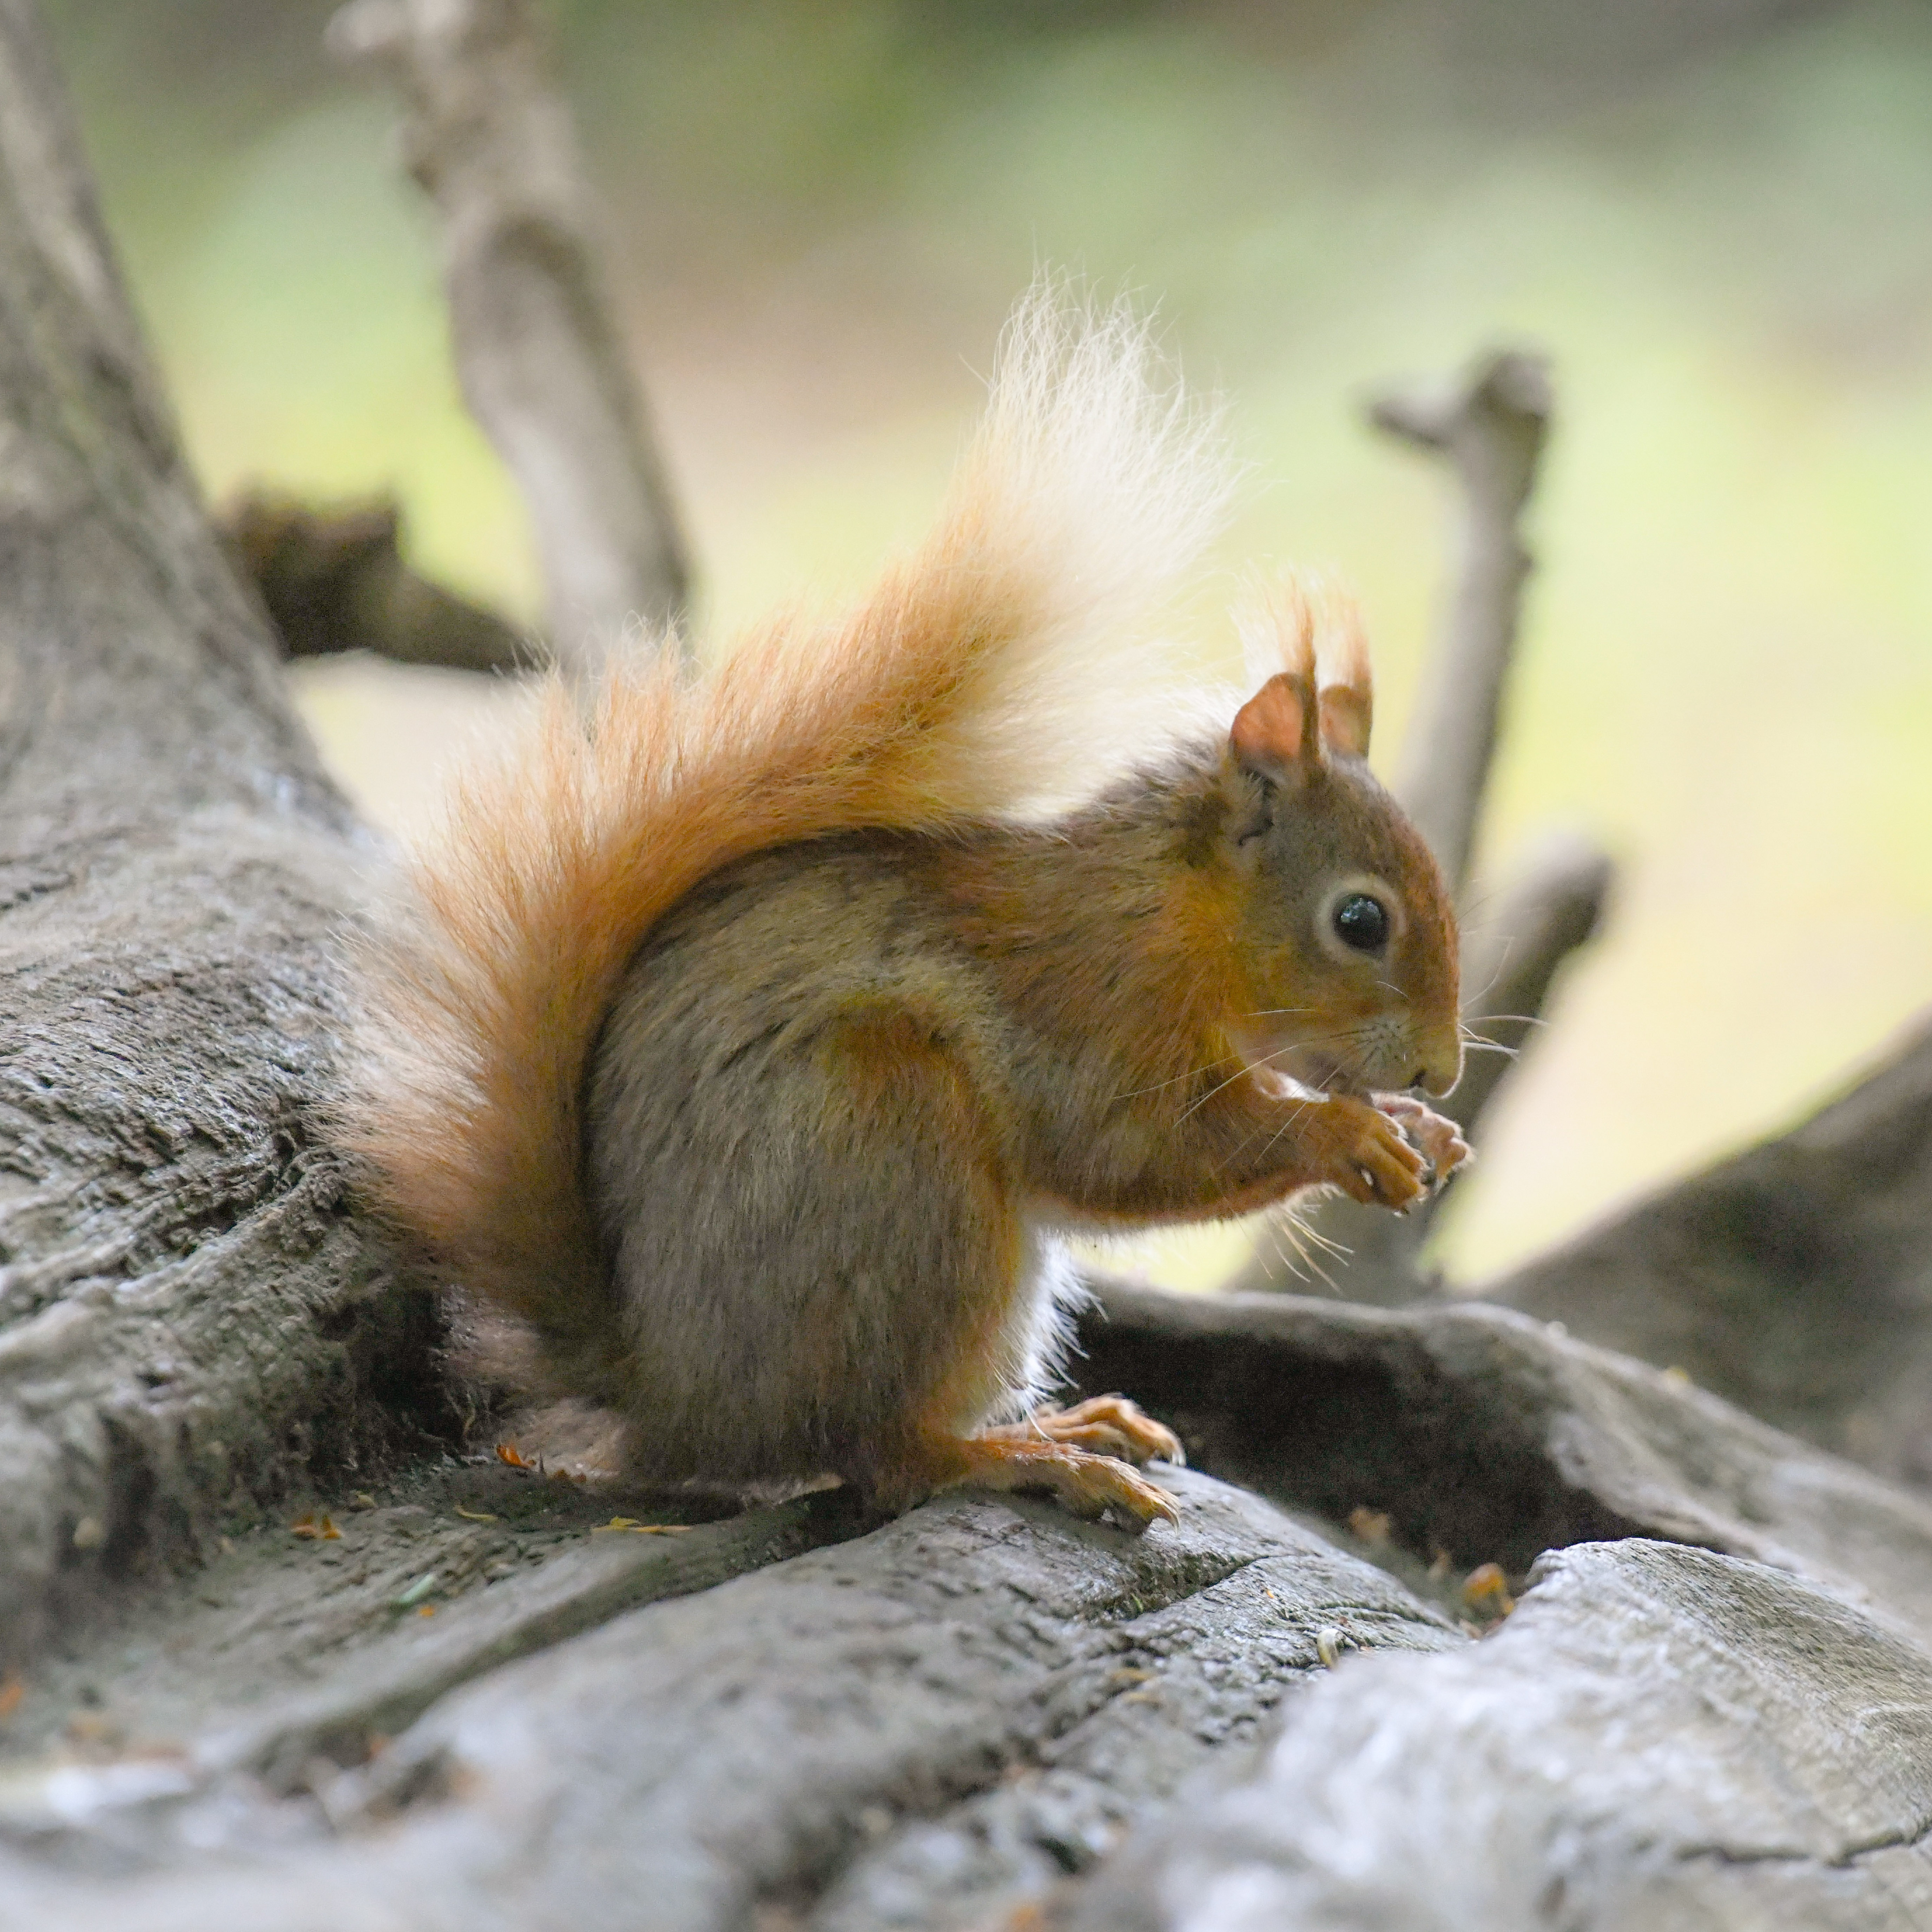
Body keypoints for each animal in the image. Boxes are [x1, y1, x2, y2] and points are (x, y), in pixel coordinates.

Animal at [336, 290, 1468, 1534]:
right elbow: (1137, 1149)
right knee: (878, 1453)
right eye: (1359, 921)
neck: (1174, 913)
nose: (1441, 1069)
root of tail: (666, 1390)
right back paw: (1025, 1454)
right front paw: (1345, 1133)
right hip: (891, 1146)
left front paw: (1422, 1133)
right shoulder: (1090, 1005)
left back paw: (1070, 1422)